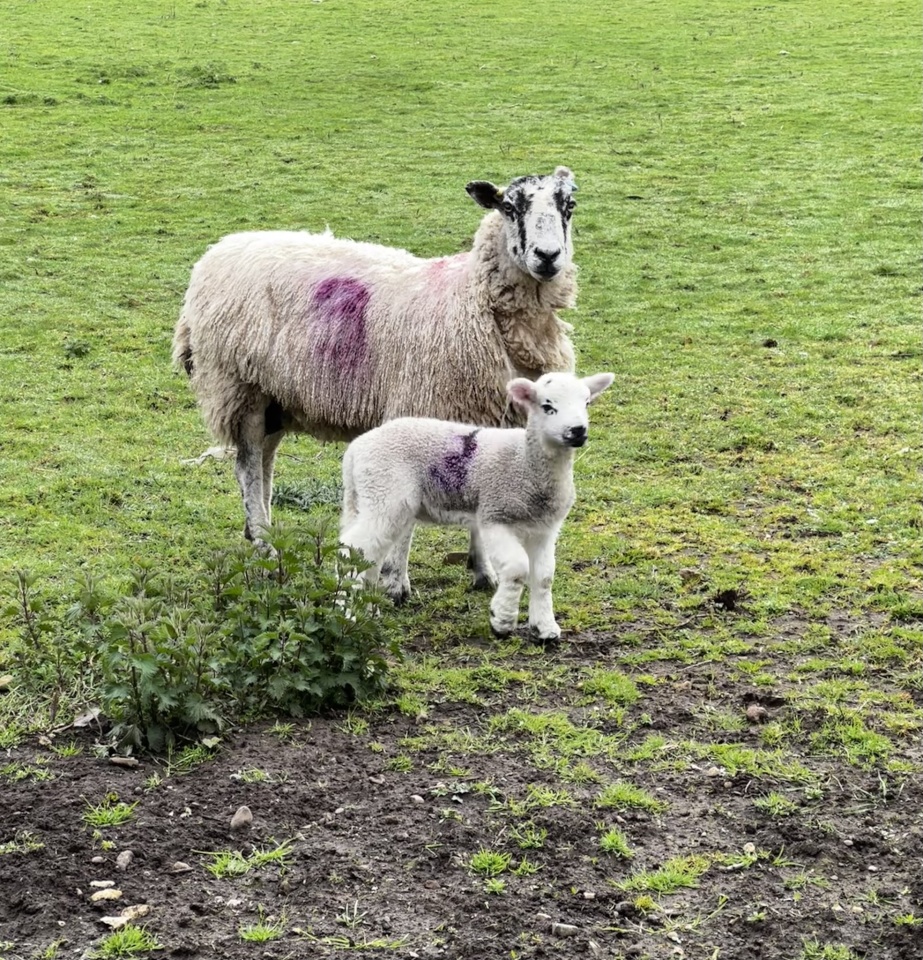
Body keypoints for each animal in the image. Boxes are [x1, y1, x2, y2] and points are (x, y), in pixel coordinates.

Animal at [172, 166, 580, 592]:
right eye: (509, 207)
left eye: (569, 205)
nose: (548, 257)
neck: (472, 301)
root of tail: (217, 252)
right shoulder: (416, 410)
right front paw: (395, 582)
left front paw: (482, 571)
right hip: (238, 386)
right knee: (248, 466)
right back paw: (265, 546)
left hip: (275, 397)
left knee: (264, 462)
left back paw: (263, 536)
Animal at [339, 370, 614, 641]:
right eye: (547, 406)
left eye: (586, 403)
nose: (578, 431)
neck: (525, 462)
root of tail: (354, 451)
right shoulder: (494, 515)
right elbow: (517, 568)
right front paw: (502, 621)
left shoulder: (545, 528)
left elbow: (545, 576)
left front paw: (545, 628)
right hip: (384, 493)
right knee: (352, 546)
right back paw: (346, 613)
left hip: (379, 501)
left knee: (371, 554)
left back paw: (368, 612)